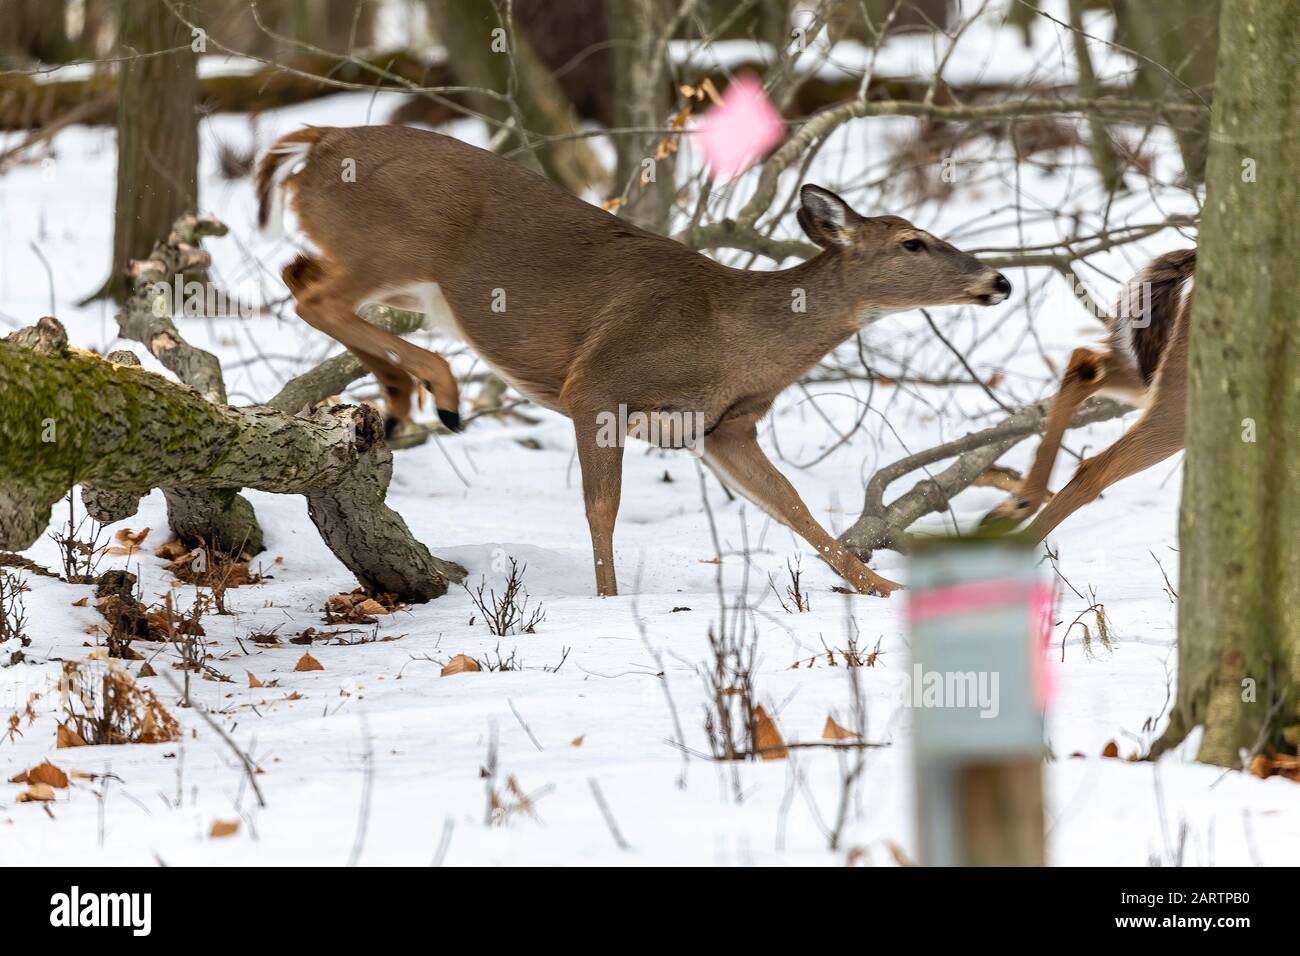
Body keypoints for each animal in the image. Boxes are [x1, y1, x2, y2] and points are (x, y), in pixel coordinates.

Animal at [256, 124, 1011, 598]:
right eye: (913, 242)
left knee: (296, 276)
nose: (999, 280)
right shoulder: (599, 385)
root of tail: (318, 141)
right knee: (312, 292)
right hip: (393, 246)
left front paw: (882, 587)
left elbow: (793, 506)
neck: (729, 334)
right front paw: (609, 602)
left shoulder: (723, 429)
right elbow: (603, 509)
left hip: (392, 271)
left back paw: (402, 391)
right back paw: (436, 389)